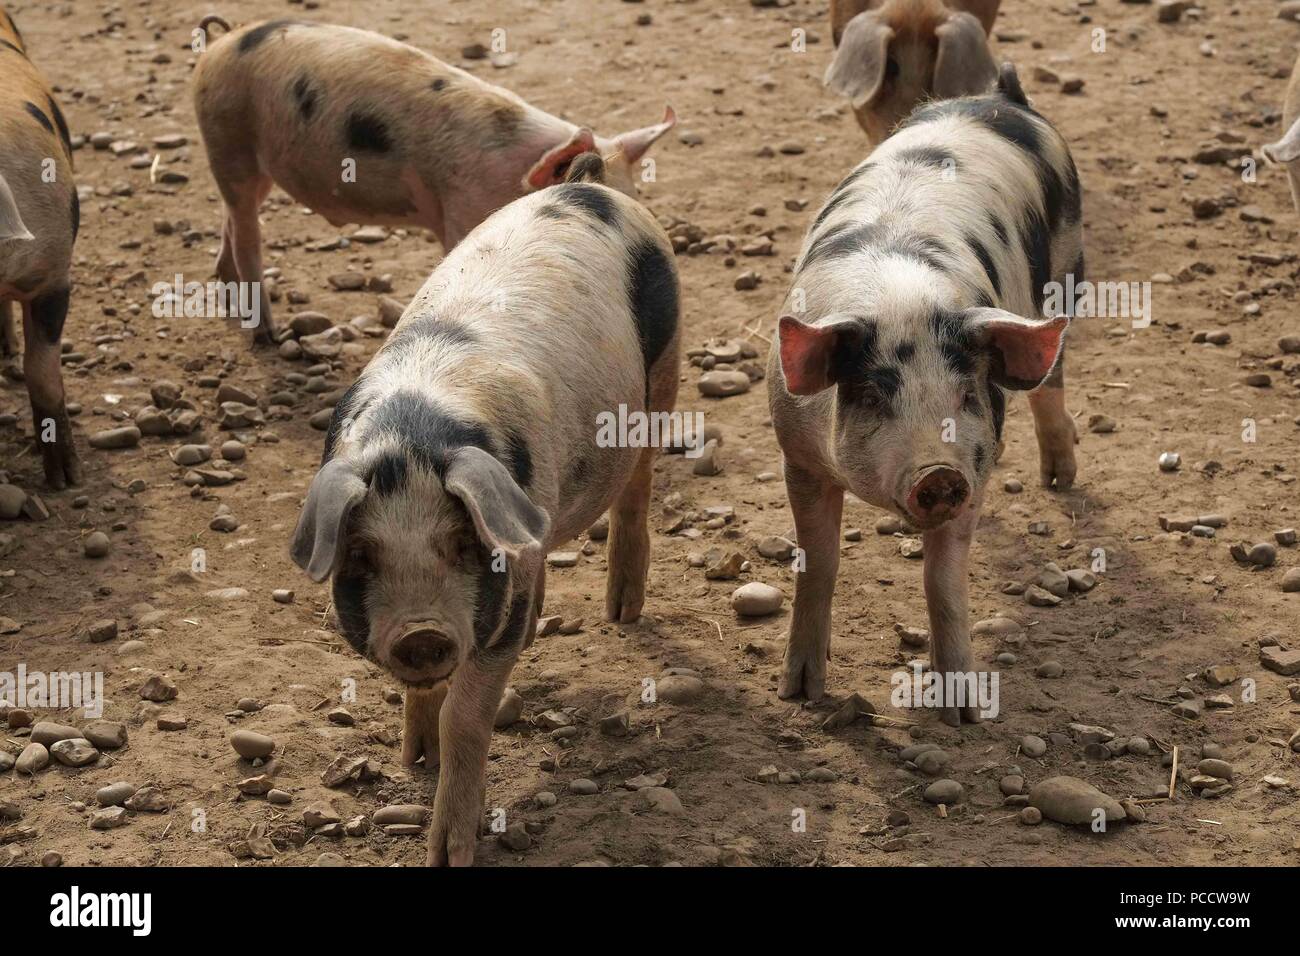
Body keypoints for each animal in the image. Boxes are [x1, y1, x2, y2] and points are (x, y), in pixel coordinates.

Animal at [191, 16, 676, 344]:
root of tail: (223, 40)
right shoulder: (461, 212)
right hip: (226, 137)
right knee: (245, 231)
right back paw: (268, 335)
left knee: (232, 218)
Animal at [289, 153, 680, 865]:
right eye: (360, 554)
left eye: (464, 544)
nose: (421, 632)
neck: (413, 431)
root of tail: (587, 184)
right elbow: (427, 695)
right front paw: (415, 758)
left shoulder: (496, 608)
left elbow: (467, 716)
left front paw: (448, 853)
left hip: (663, 371)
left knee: (638, 484)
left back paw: (622, 611)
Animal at [767, 64, 1081, 725]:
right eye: (874, 396)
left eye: (966, 395)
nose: (938, 472)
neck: (899, 298)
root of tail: (998, 96)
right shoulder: (797, 452)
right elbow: (819, 561)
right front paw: (801, 693)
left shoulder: (980, 465)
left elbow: (945, 582)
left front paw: (963, 713)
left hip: (1068, 265)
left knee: (1052, 379)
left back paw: (1058, 479)